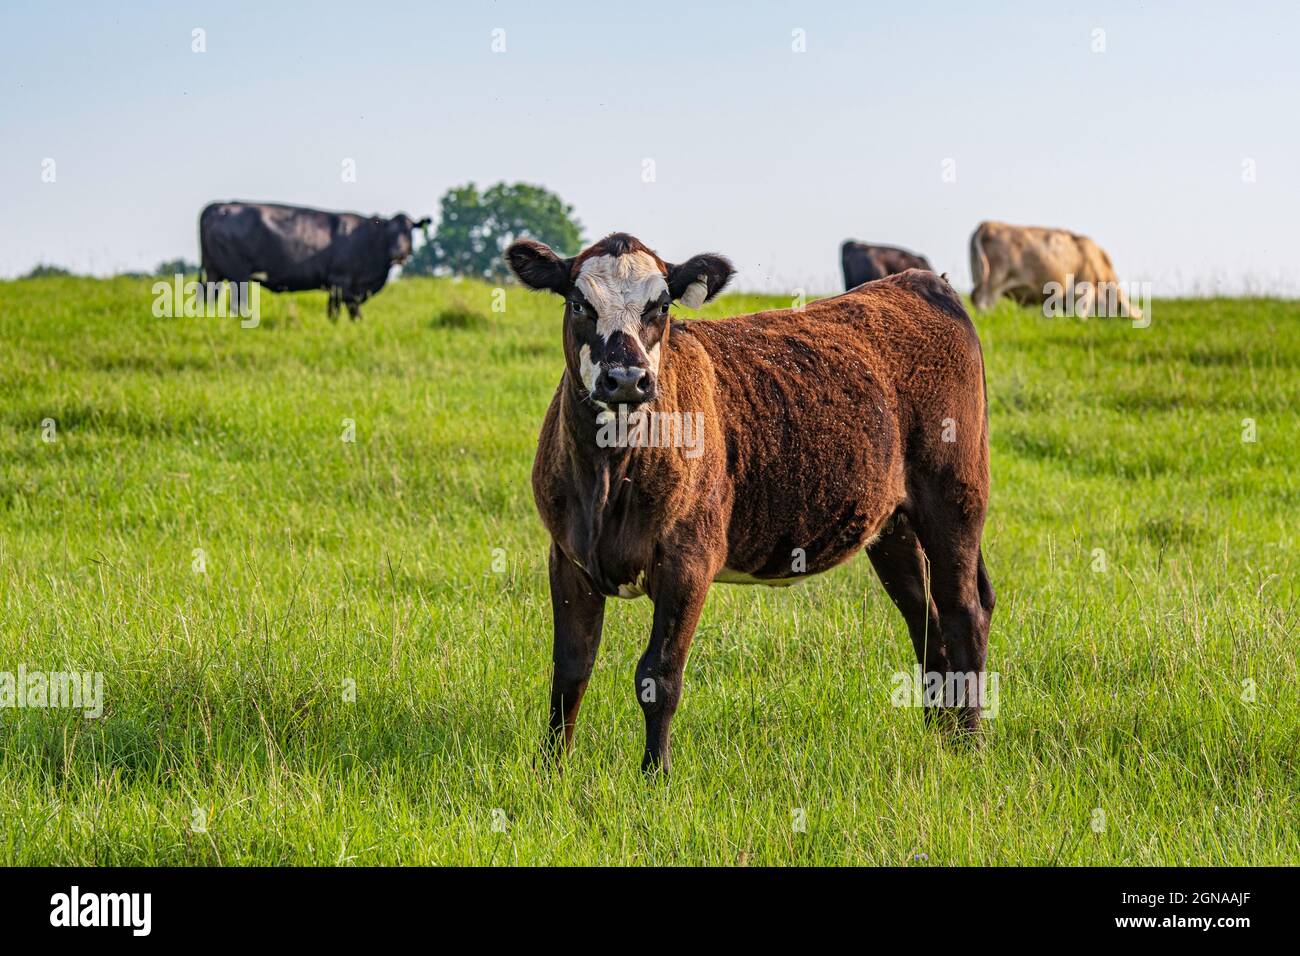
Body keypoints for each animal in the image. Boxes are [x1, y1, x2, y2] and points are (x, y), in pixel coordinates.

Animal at [199, 202, 430, 320]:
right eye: (390, 233)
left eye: (409, 231)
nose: (398, 253)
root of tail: (219, 207)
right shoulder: (341, 281)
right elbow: (350, 311)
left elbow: (333, 311)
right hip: (238, 274)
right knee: (237, 302)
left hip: (213, 271)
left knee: (209, 298)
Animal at [506, 232, 995, 775]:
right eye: (579, 304)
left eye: (661, 306)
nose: (627, 379)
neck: (609, 476)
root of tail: (920, 281)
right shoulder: (567, 557)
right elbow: (570, 669)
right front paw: (551, 768)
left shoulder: (688, 560)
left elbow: (659, 676)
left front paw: (656, 775)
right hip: (893, 526)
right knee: (924, 618)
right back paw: (940, 737)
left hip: (955, 498)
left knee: (964, 610)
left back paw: (970, 744)